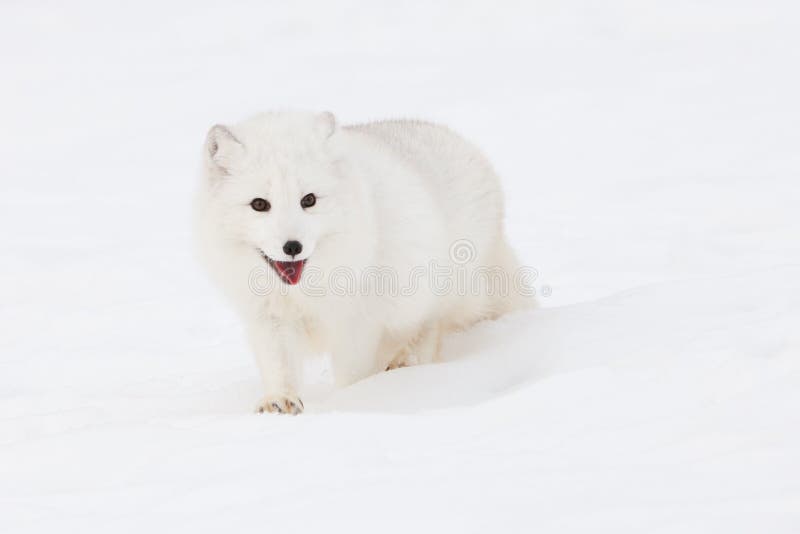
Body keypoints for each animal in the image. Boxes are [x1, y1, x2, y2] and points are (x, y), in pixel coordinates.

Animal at [195, 111, 531, 414]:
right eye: (259, 204)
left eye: (308, 200)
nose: (292, 247)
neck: (305, 293)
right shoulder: (269, 319)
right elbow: (280, 366)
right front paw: (280, 401)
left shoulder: (357, 325)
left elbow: (352, 376)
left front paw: (354, 402)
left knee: (431, 328)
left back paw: (405, 364)